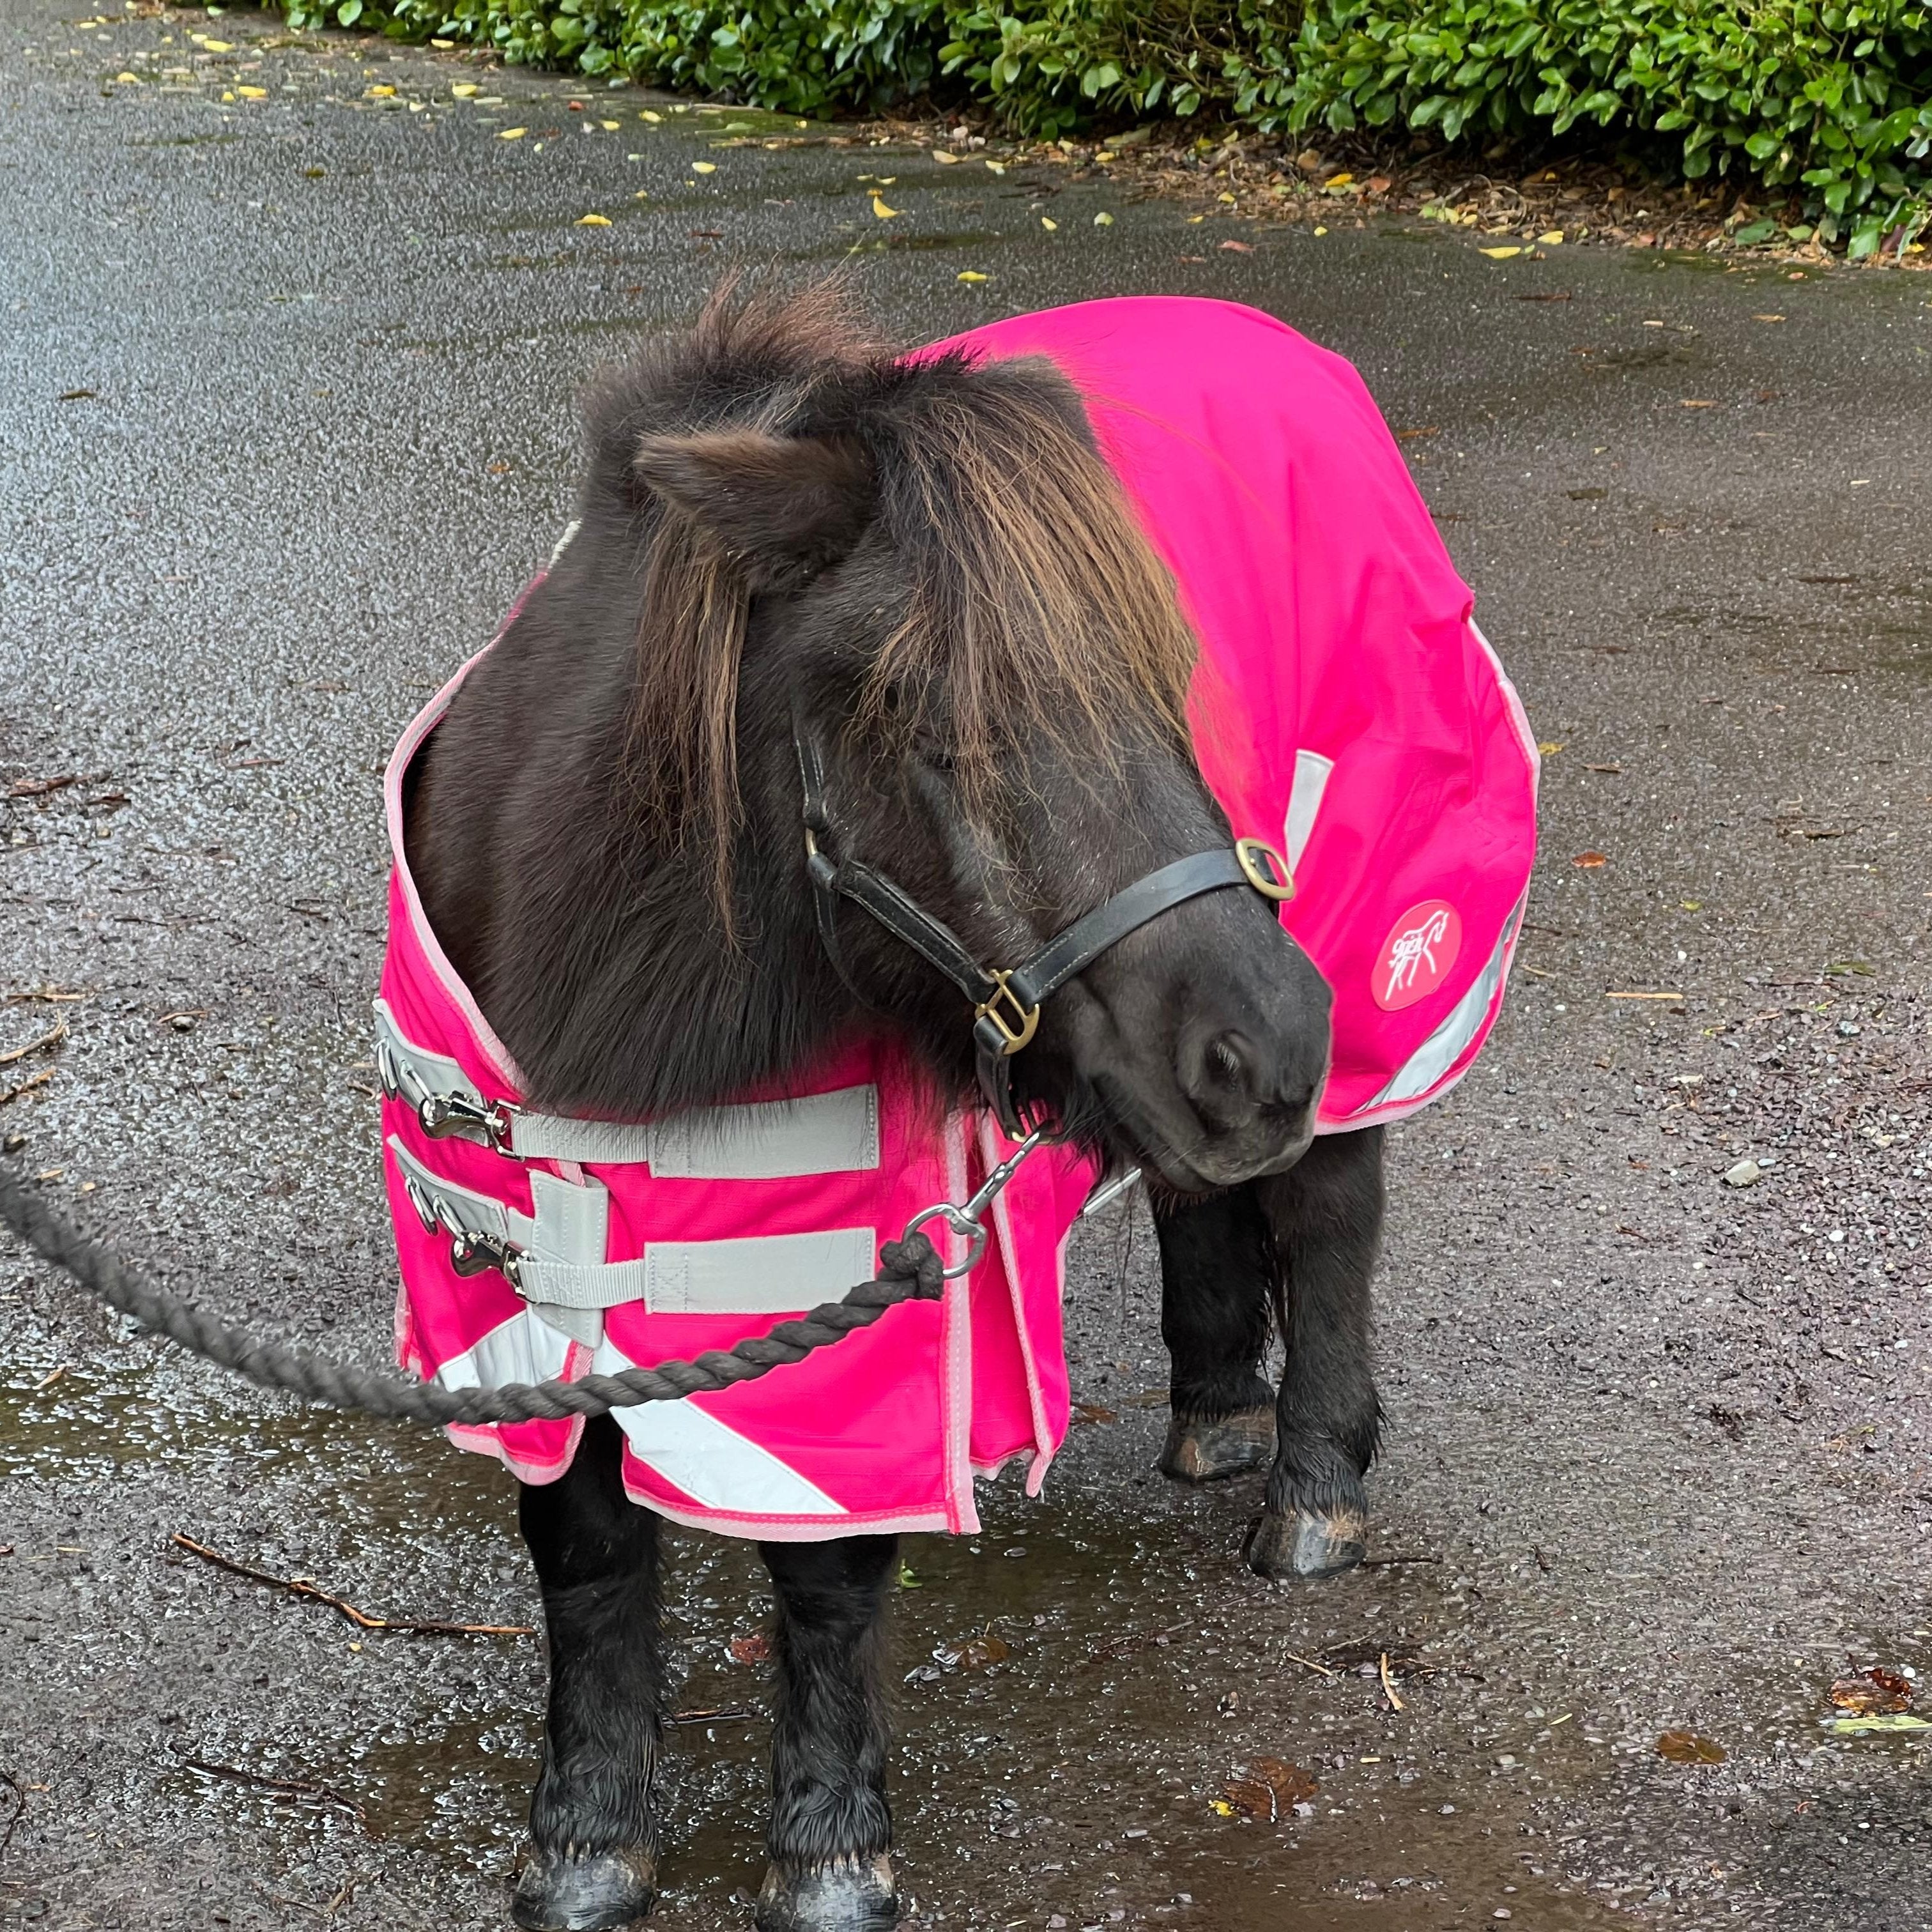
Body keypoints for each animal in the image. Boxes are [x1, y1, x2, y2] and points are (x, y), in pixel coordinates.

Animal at [398, 285, 1398, 1932]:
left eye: (1168, 684)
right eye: (923, 712)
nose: (1266, 1048)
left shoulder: (849, 1291)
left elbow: (826, 1574)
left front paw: (826, 1849)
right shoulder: (526, 1281)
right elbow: (584, 1541)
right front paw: (589, 1835)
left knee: (1327, 1212)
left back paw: (1312, 1487)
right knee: (1198, 1196)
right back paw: (1213, 1413)